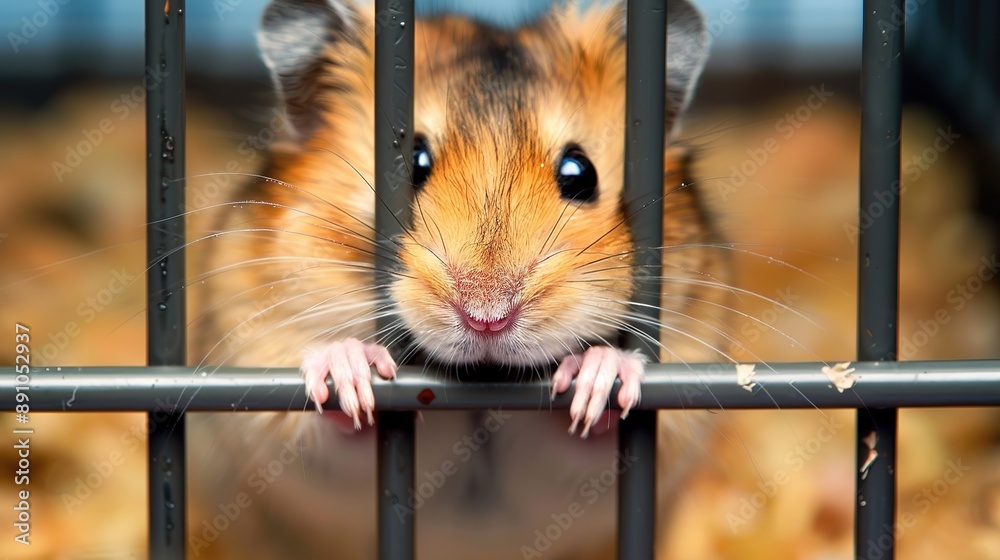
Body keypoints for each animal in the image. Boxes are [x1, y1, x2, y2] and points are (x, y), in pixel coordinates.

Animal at [189, 0, 724, 558]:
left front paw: (600, 374)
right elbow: (337, 430)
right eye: (412, 164)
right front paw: (352, 368)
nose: (487, 317)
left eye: (580, 173)